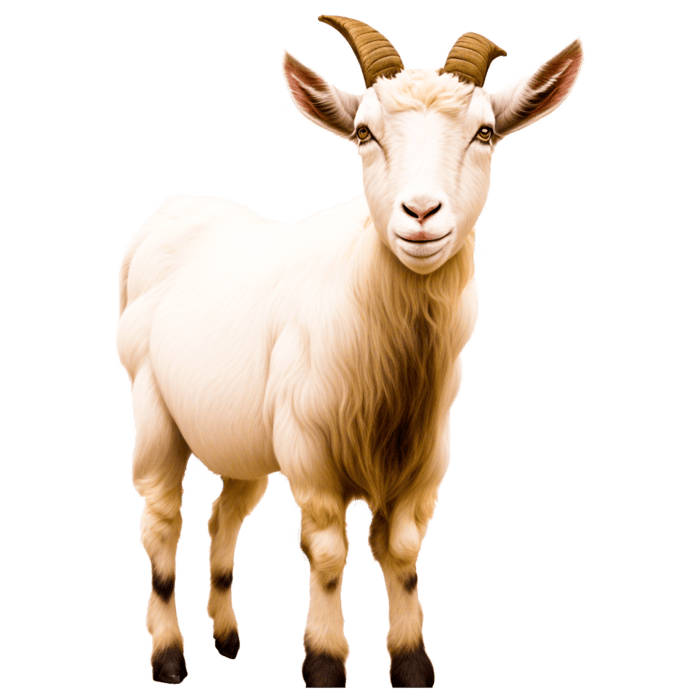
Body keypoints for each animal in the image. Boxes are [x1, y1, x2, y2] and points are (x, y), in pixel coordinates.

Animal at [115, 14, 584, 688]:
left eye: (485, 132)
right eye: (364, 132)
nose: (421, 213)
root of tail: (174, 209)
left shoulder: (425, 457)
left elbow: (403, 550)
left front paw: (411, 663)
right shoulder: (309, 450)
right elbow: (328, 550)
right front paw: (324, 662)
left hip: (242, 438)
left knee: (224, 514)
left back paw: (227, 639)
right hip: (154, 410)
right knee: (161, 521)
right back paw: (170, 656)